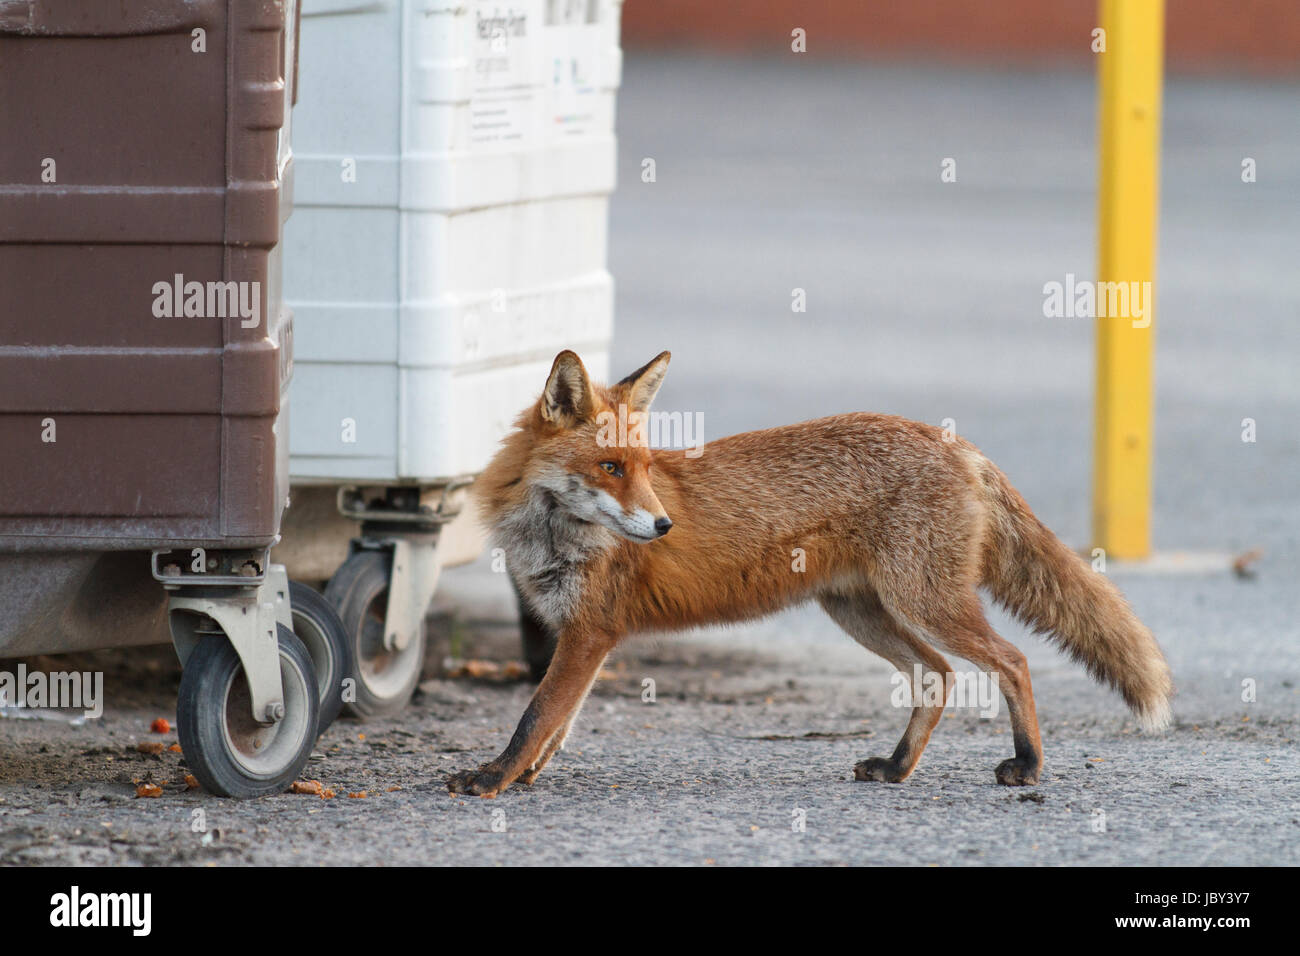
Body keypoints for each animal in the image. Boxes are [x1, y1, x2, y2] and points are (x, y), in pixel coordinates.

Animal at [447, 350, 1174, 797]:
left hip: (923, 602)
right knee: (937, 675)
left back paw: (1027, 764)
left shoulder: (592, 631)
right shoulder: (582, 635)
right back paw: (897, 767)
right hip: (861, 612)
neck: (551, 535)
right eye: (609, 468)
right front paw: (524, 776)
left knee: (1011, 660)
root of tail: (956, 443)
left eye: (646, 468)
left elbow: (536, 716)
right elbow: (557, 723)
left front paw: (492, 778)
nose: (663, 527)